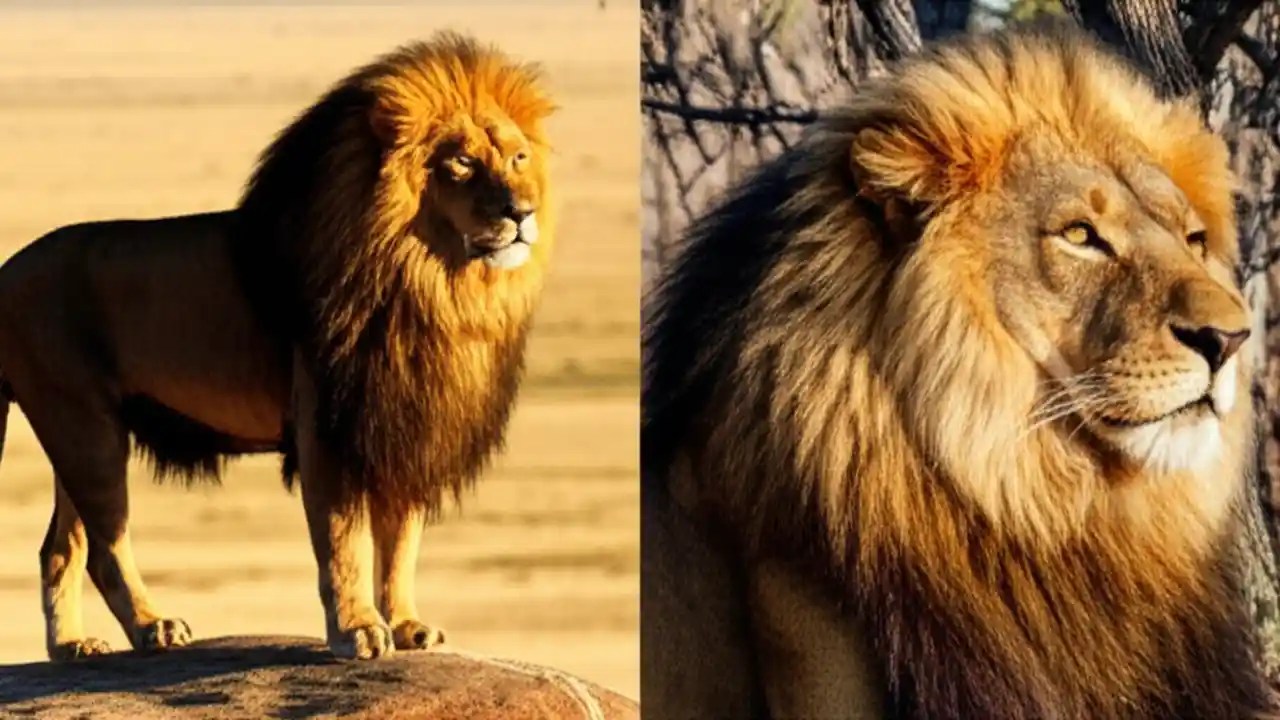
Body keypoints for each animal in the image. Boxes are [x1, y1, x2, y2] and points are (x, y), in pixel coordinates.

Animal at [0, 32, 556, 662]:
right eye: (461, 162)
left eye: (517, 158)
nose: (522, 212)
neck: (433, 279)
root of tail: (7, 270)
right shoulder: (329, 427)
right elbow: (344, 540)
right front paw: (357, 631)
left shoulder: (406, 425)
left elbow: (401, 542)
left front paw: (408, 625)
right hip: (84, 429)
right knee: (103, 548)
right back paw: (151, 628)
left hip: (77, 436)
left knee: (59, 549)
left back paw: (72, 645)